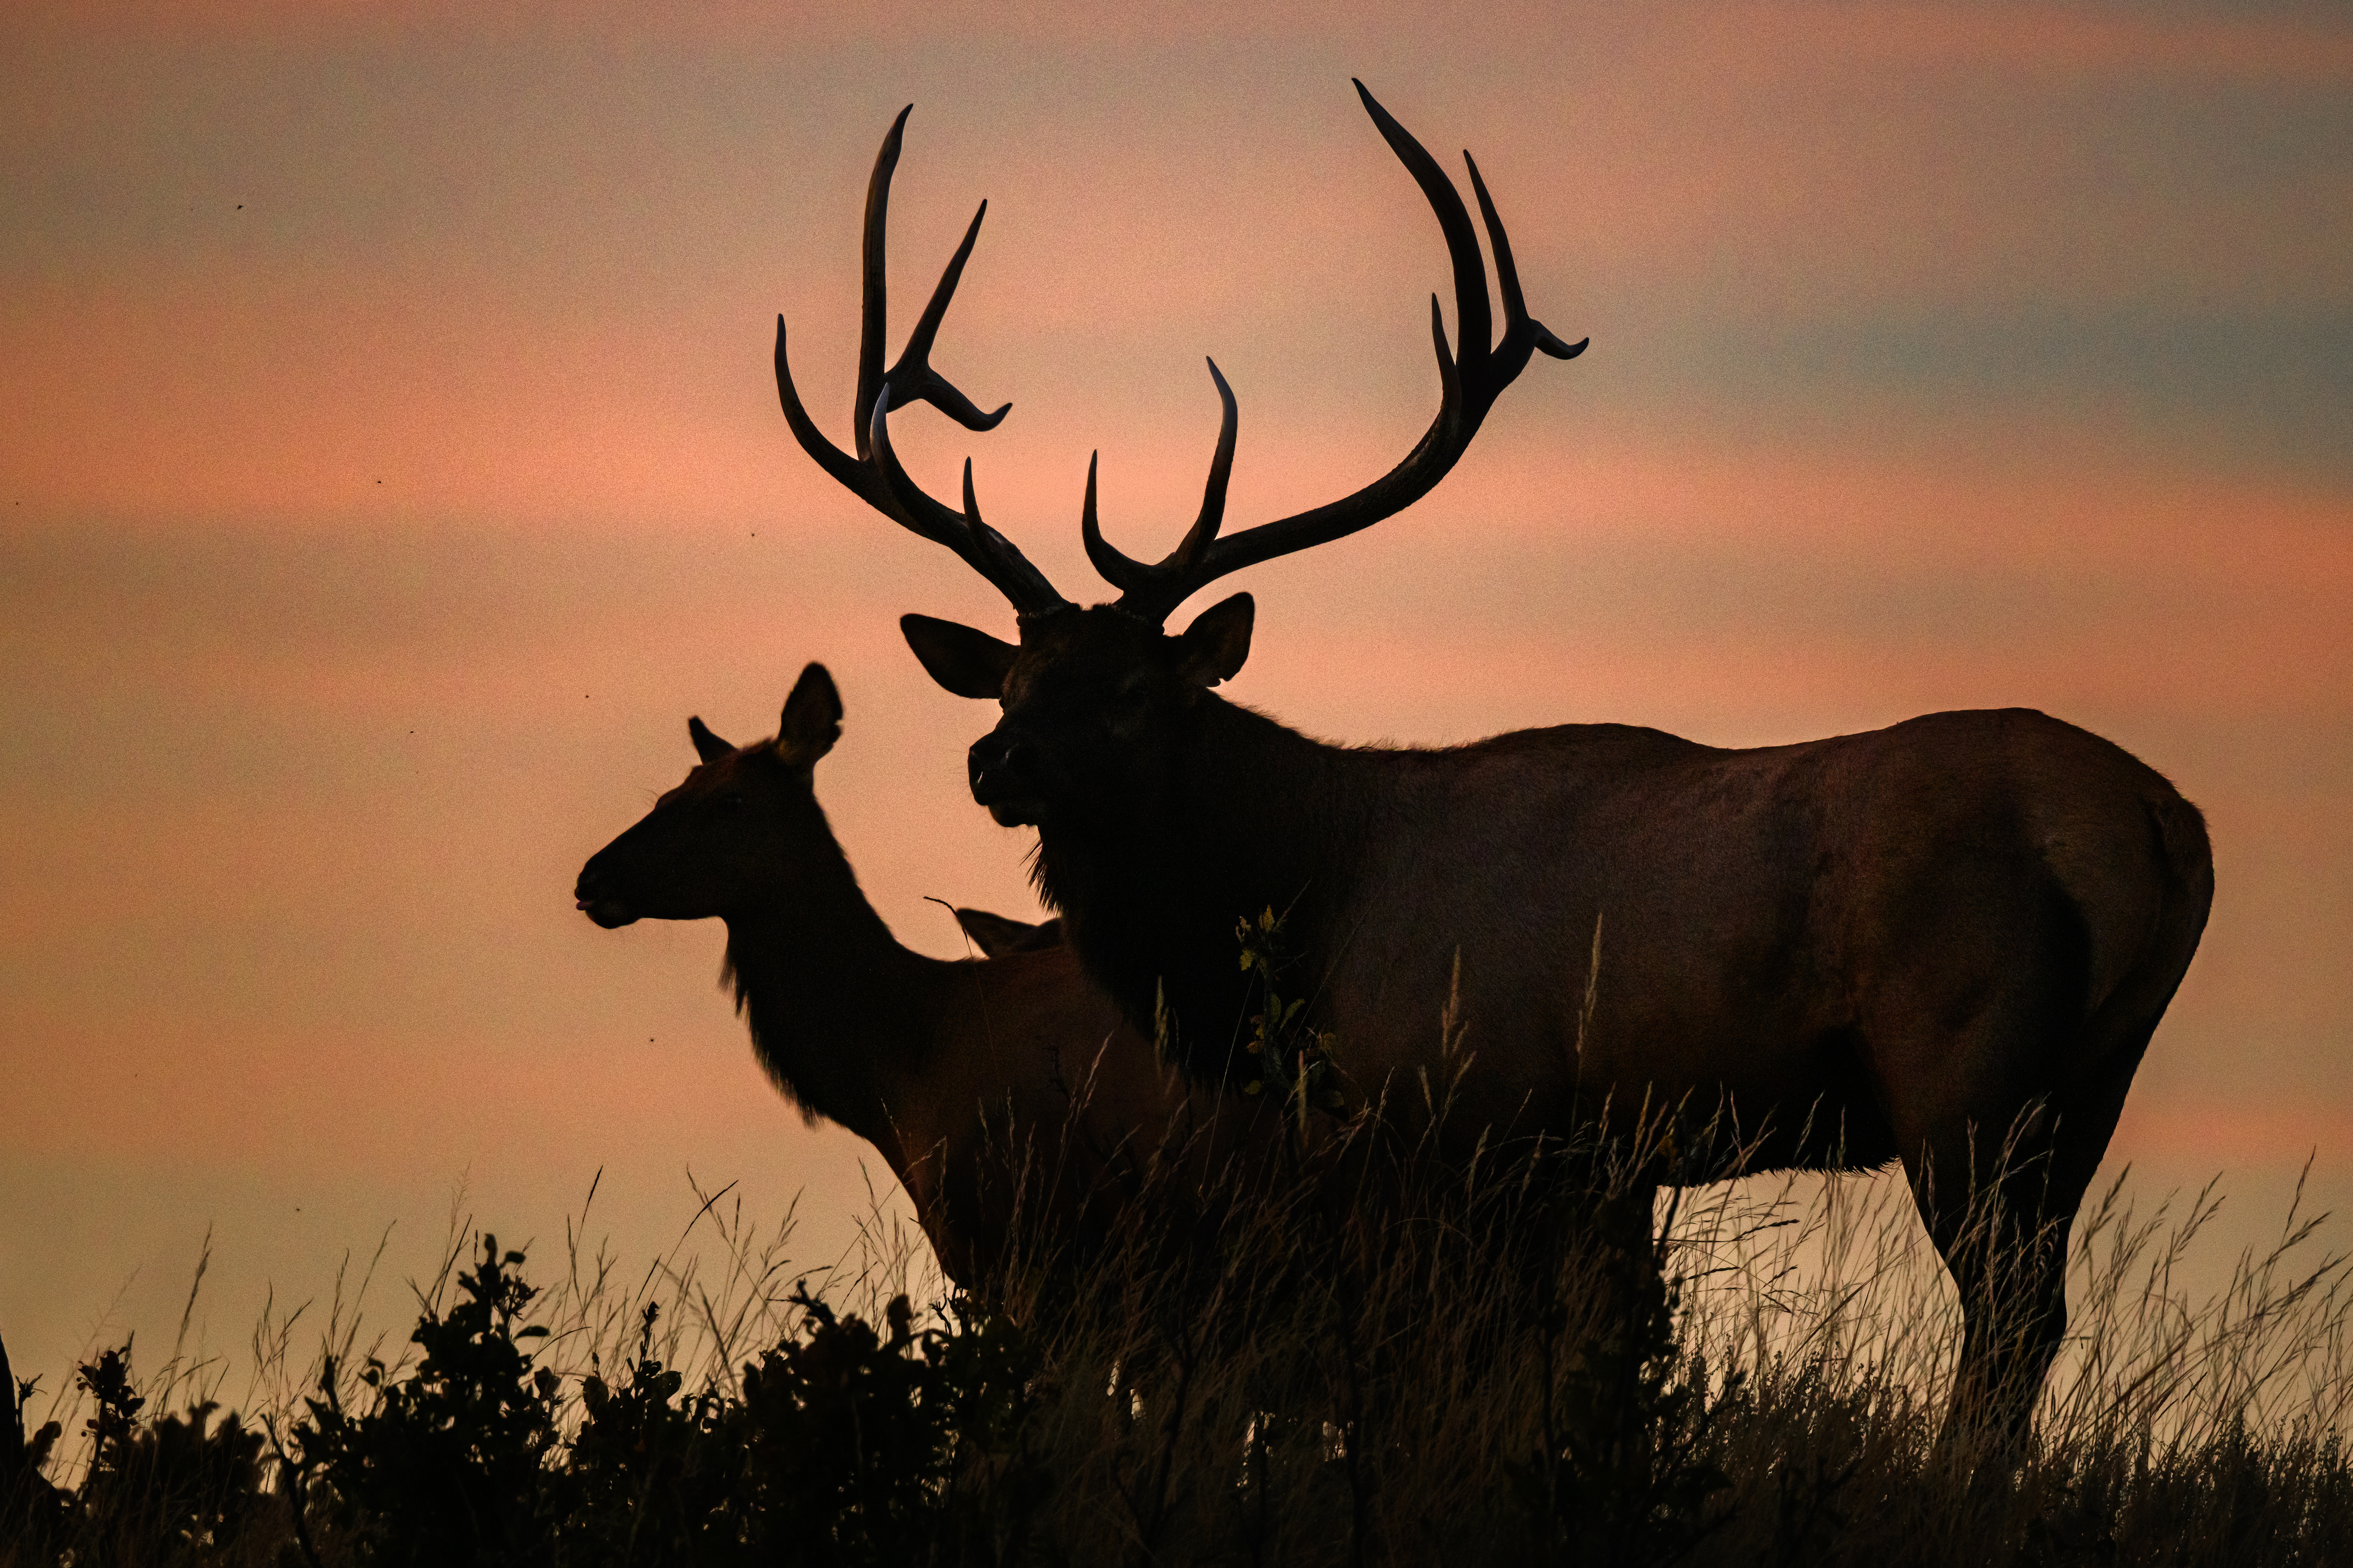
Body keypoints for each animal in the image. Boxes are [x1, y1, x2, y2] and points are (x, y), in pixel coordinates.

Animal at [767, 82, 2215, 1444]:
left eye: (1131, 691)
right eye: (1013, 679)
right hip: (2093, 1075)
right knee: (2034, 1310)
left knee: (2010, 1316)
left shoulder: (1474, 1109)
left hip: (1967, 1065)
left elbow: (1484, 1364)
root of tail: (2163, 819)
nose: (995, 760)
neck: (1317, 905)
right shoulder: (1591, 1157)